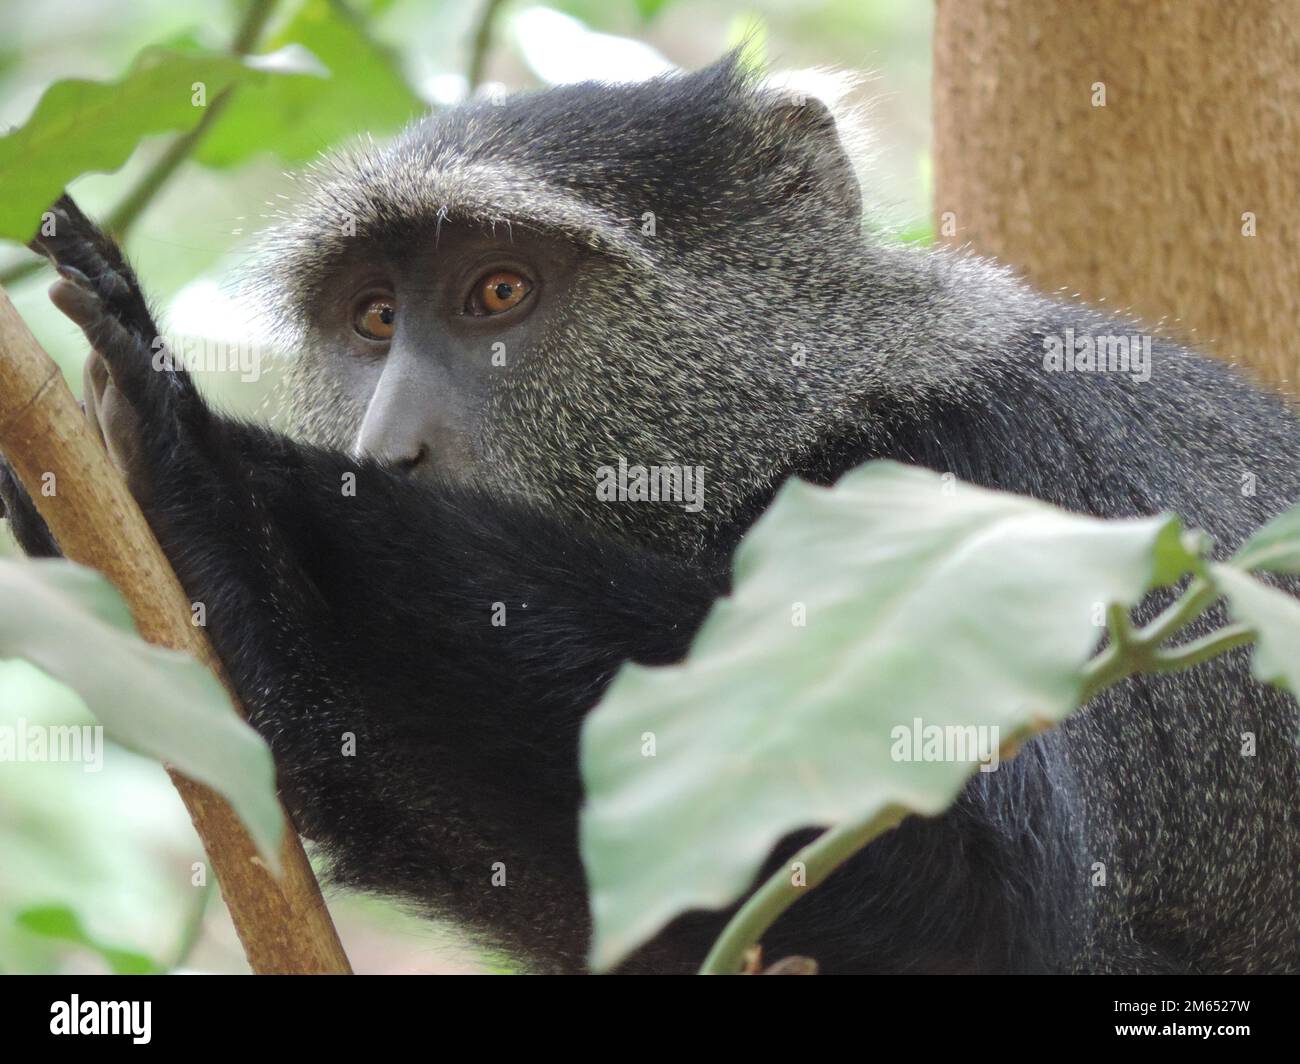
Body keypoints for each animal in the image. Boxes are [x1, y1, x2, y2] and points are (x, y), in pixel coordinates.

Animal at [2, 57, 1298, 974]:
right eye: (373, 318)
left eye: (498, 292)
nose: (387, 448)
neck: (808, 436)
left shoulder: (984, 496)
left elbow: (992, 897)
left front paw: (209, 471)